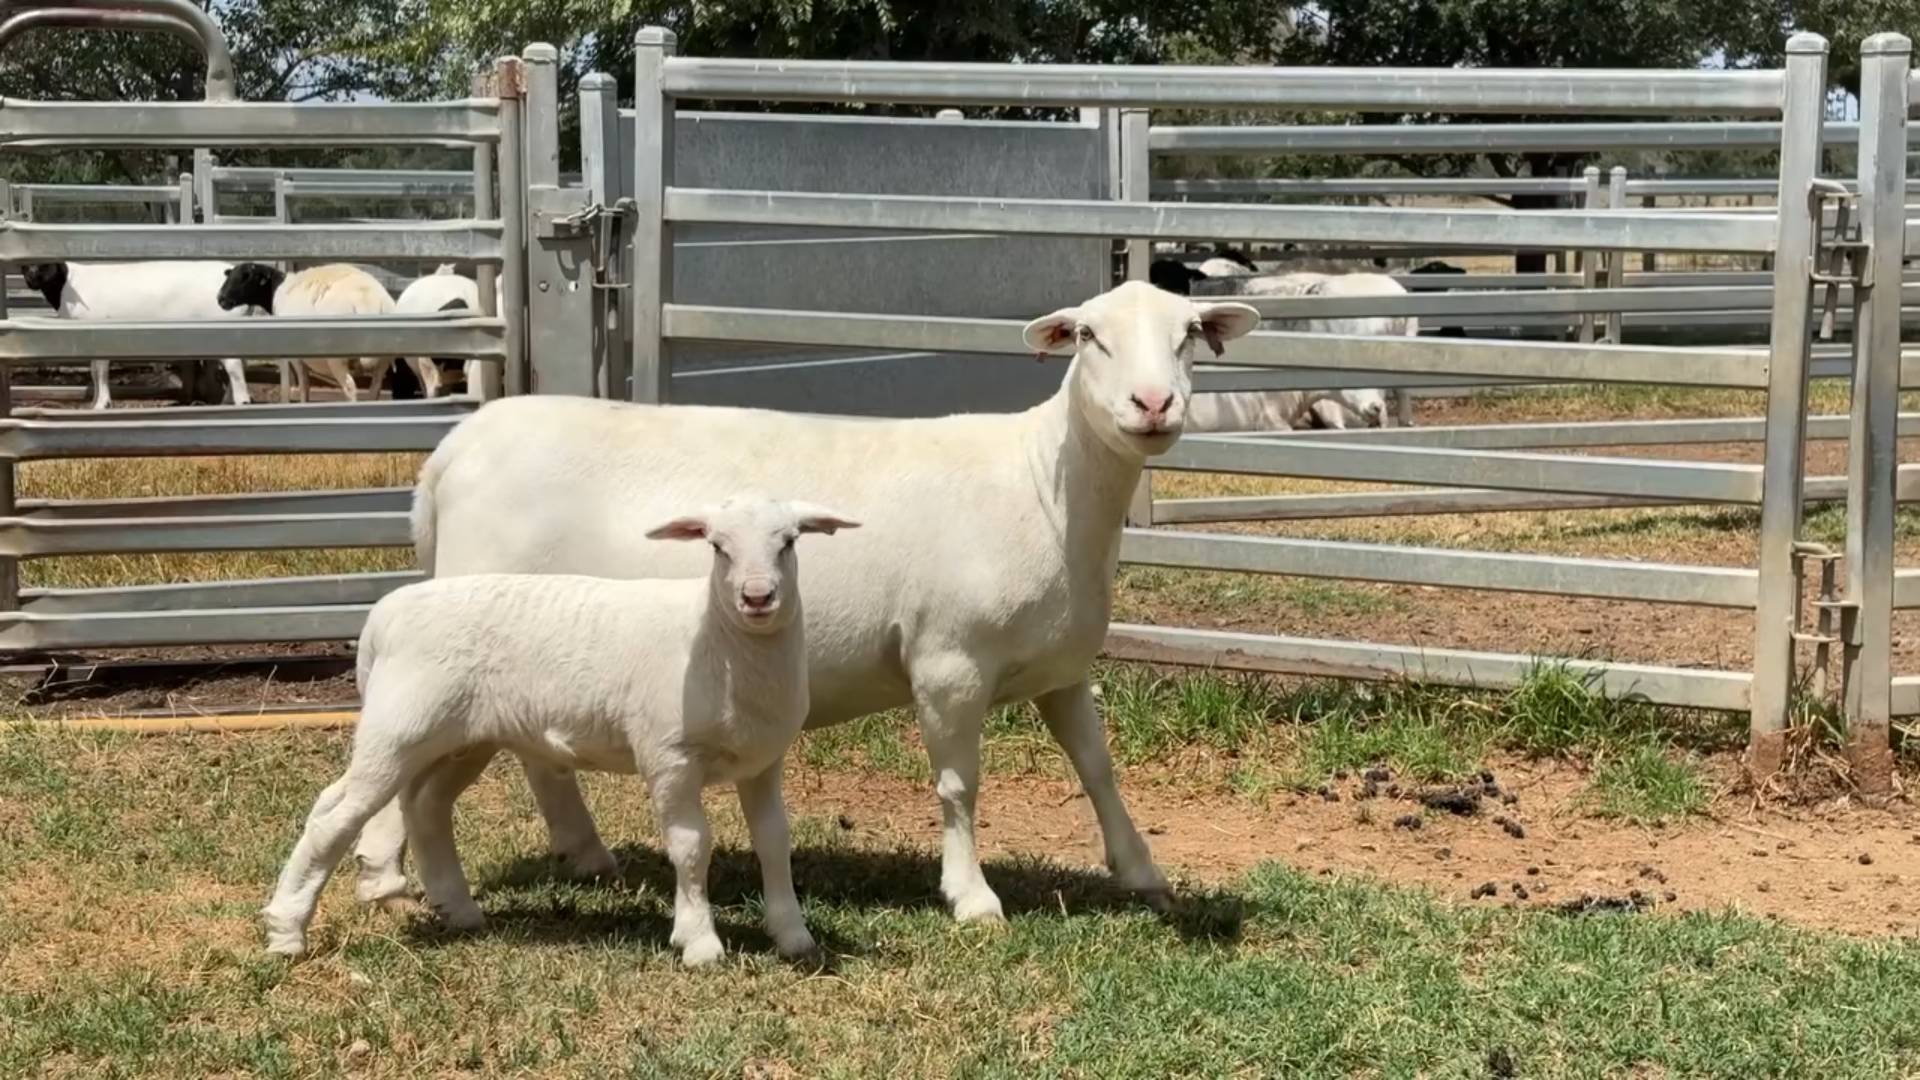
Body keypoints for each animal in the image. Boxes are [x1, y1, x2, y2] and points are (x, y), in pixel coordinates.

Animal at [18, 261, 256, 409]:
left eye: (45, 264)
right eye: (26, 265)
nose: (31, 277)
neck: (67, 286)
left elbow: (100, 372)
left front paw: (102, 405)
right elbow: (94, 372)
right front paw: (94, 402)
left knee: (234, 367)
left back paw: (240, 402)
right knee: (238, 365)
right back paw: (227, 401)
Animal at [216, 263, 400, 402]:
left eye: (246, 277)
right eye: (230, 275)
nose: (220, 299)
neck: (277, 290)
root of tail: (367, 301)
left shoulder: (296, 355)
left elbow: (304, 385)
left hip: (337, 358)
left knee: (349, 386)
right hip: (385, 358)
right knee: (375, 387)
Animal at [263, 495, 860, 963]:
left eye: (789, 542)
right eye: (717, 546)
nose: (757, 597)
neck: (720, 642)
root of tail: (383, 616)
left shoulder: (763, 759)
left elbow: (774, 840)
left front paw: (793, 936)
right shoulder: (668, 756)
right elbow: (692, 846)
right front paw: (699, 942)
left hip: (463, 737)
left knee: (426, 804)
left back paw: (459, 910)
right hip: (397, 728)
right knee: (335, 814)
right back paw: (287, 930)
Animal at [344, 281, 1262, 925]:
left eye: (1188, 336)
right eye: (1093, 338)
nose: (1154, 405)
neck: (1044, 483)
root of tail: (449, 457)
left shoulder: (1060, 666)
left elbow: (1097, 767)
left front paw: (1143, 872)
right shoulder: (949, 659)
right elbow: (959, 784)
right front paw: (970, 896)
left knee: (537, 754)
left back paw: (584, 855)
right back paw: (387, 873)